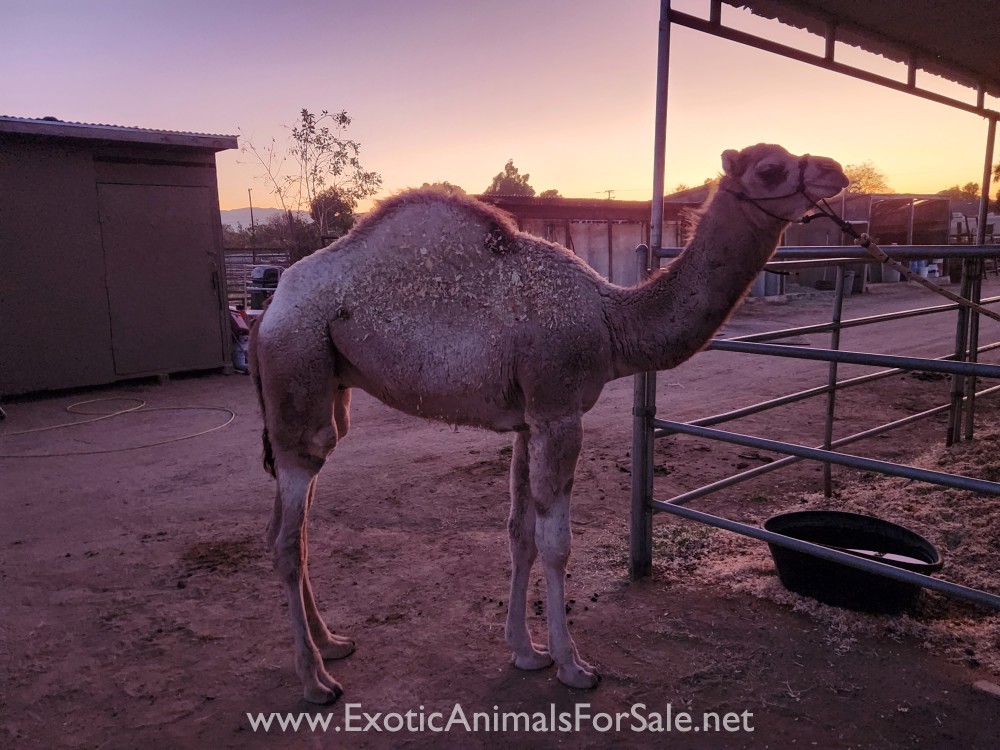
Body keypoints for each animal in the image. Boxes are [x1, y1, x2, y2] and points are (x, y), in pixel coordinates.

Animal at [249, 143, 848, 703]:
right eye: (770, 169)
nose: (836, 171)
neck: (611, 321)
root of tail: (266, 311)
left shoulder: (527, 421)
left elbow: (521, 534)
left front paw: (526, 651)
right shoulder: (559, 412)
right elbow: (557, 543)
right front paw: (573, 666)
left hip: (327, 394)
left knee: (293, 525)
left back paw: (332, 643)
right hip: (298, 369)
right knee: (285, 536)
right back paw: (316, 681)